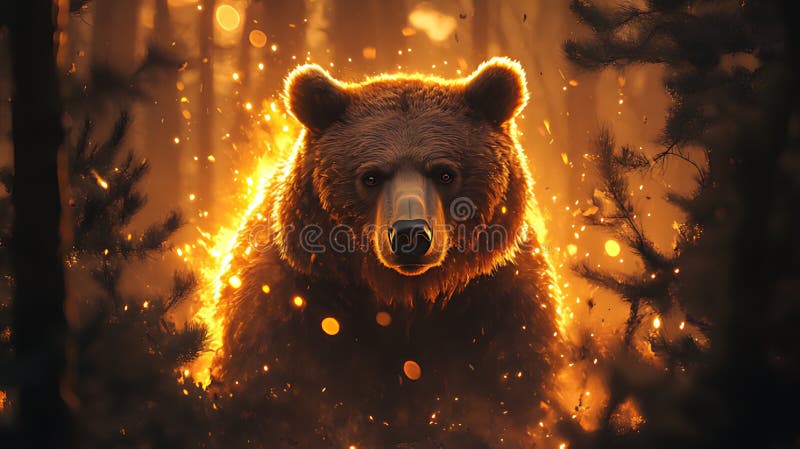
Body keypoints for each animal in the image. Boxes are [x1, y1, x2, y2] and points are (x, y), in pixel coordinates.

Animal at [210, 58, 562, 449]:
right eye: (371, 176)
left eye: (445, 173)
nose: (410, 235)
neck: (403, 296)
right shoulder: (291, 301)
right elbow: (281, 391)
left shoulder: (497, 304)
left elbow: (502, 395)